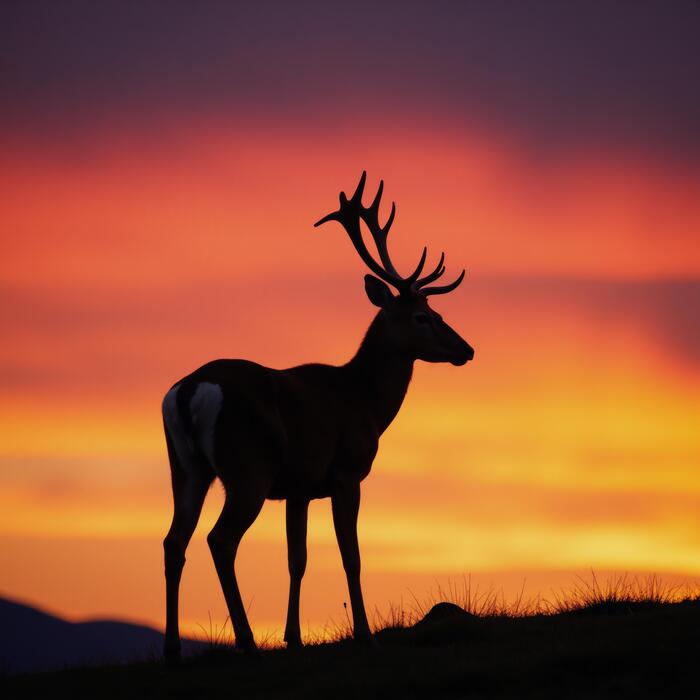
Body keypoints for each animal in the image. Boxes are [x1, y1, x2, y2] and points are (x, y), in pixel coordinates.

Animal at [161, 172, 474, 661]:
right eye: (424, 316)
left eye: (438, 312)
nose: (466, 349)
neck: (365, 402)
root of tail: (192, 389)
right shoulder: (346, 472)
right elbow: (351, 555)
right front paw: (364, 633)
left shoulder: (299, 488)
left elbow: (298, 559)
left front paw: (293, 636)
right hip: (247, 469)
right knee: (220, 540)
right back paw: (246, 641)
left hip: (186, 467)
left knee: (175, 541)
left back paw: (173, 649)